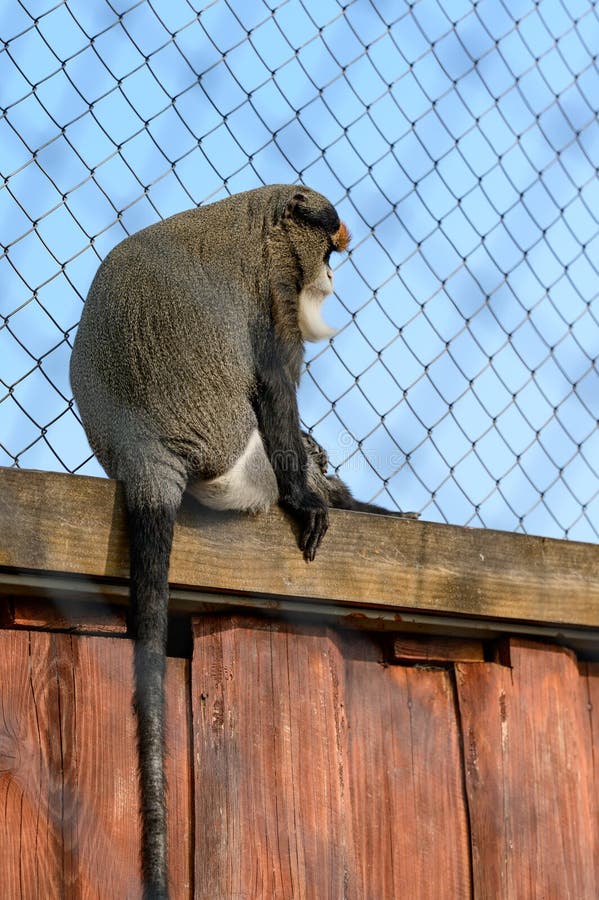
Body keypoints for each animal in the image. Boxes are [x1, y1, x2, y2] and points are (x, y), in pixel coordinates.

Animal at [69, 184, 415, 898]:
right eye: (329, 250)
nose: (332, 282)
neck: (259, 216)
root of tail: (143, 457)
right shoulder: (276, 298)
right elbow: (276, 389)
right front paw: (314, 495)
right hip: (234, 463)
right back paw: (332, 494)